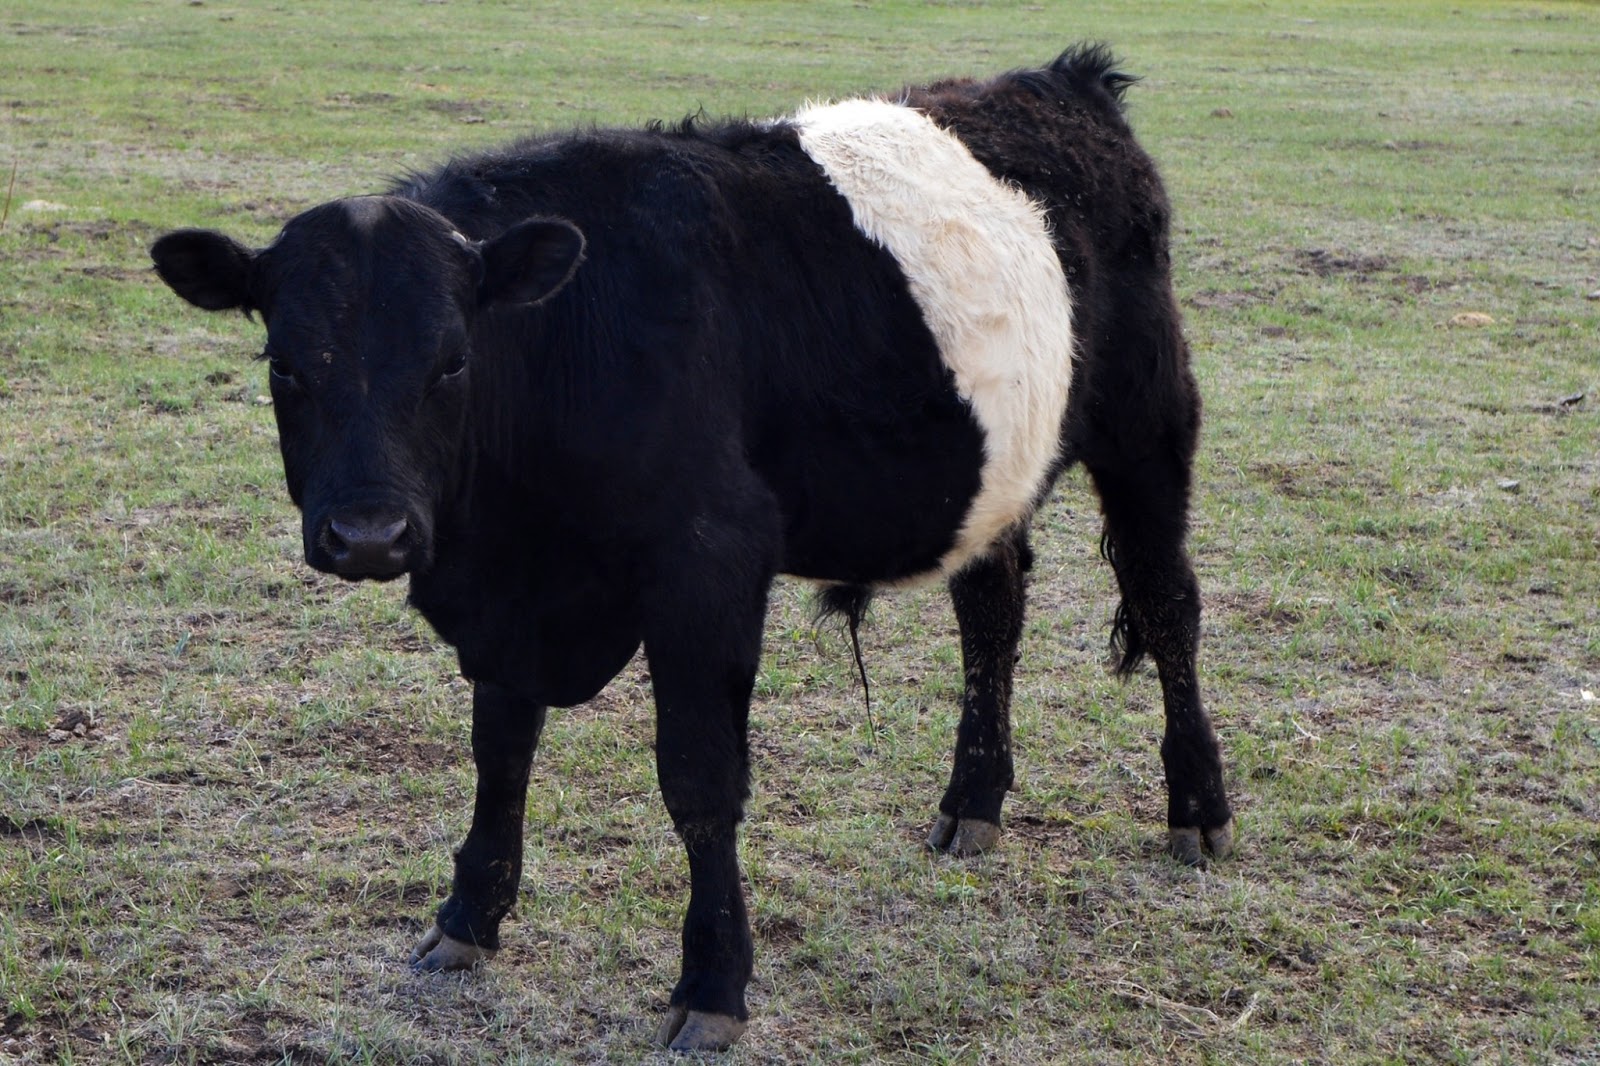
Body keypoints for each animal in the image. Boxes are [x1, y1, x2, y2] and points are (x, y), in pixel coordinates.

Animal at [150, 45, 1233, 1051]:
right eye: (284, 366)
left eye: (453, 360)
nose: (369, 534)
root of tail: (1063, 80)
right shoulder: (511, 598)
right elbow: (500, 752)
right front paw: (467, 919)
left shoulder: (709, 565)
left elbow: (700, 783)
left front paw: (713, 984)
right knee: (993, 608)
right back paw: (972, 801)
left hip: (1148, 419)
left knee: (1166, 600)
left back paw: (1197, 807)